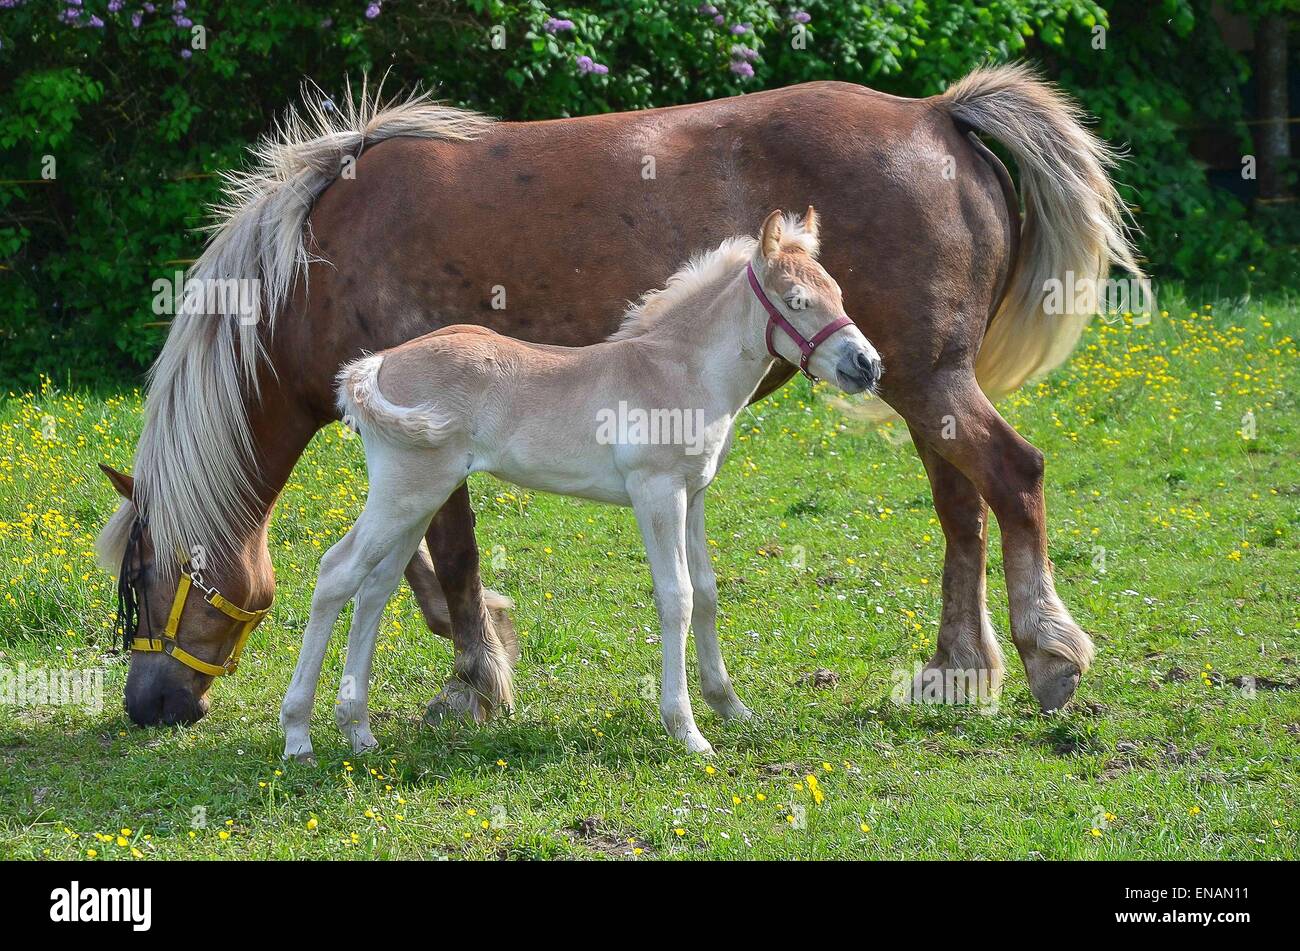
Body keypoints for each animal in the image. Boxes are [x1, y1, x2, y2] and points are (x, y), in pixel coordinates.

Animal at [279, 208, 880, 759]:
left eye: (838, 291)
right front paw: (687, 730)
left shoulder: (694, 494)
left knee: (374, 588)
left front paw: (731, 707)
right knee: (337, 573)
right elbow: (677, 597)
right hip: (406, 491)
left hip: (419, 498)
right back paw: (298, 735)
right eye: (796, 300)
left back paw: (358, 732)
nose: (866, 365)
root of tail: (377, 363)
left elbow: (707, 592)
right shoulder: (656, 492)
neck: (678, 370)